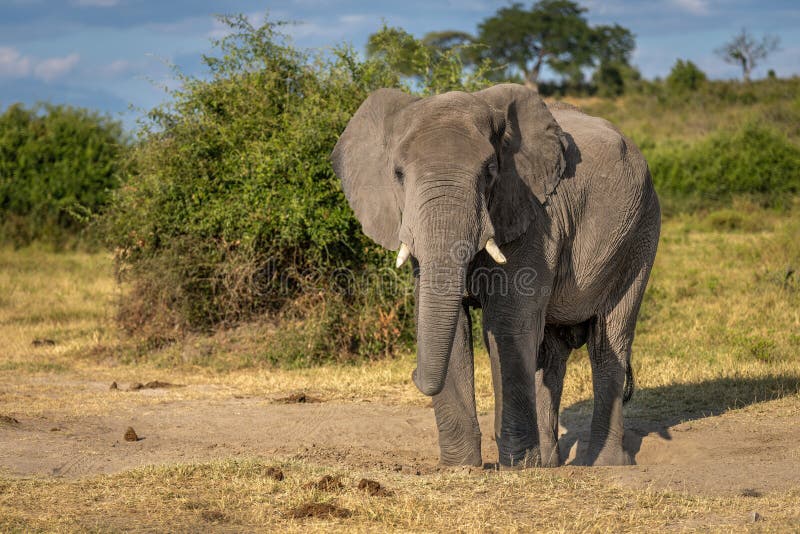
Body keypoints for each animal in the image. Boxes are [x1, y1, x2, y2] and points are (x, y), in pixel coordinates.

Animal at [331, 83, 660, 467]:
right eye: (398, 174)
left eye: (490, 170)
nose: (413, 374)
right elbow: (453, 326)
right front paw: (461, 468)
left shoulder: (534, 217)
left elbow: (507, 324)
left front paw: (517, 468)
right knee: (550, 353)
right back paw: (549, 464)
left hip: (640, 232)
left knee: (609, 341)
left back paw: (602, 464)